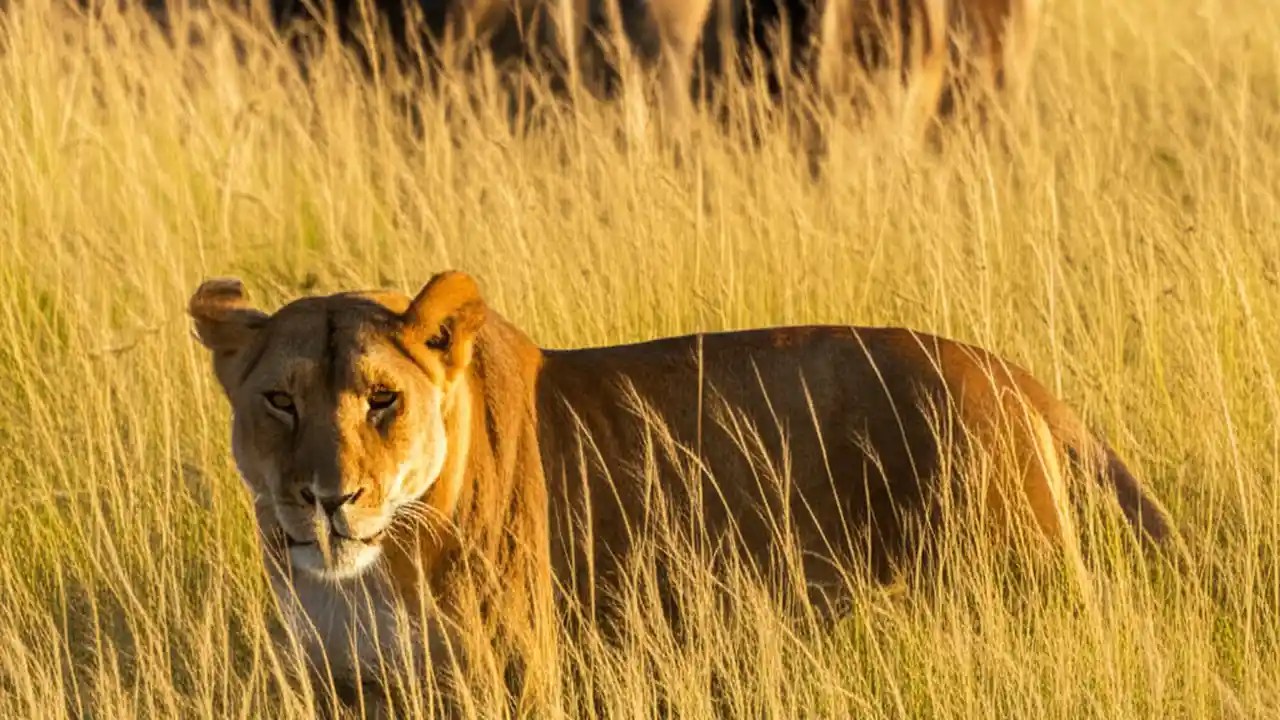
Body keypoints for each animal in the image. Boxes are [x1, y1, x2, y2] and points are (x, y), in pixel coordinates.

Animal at [189, 270, 1177, 708]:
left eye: (383, 400)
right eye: (281, 401)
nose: (327, 497)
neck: (362, 579)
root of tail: (1007, 373)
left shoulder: (511, 676)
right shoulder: (337, 686)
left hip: (1022, 592)